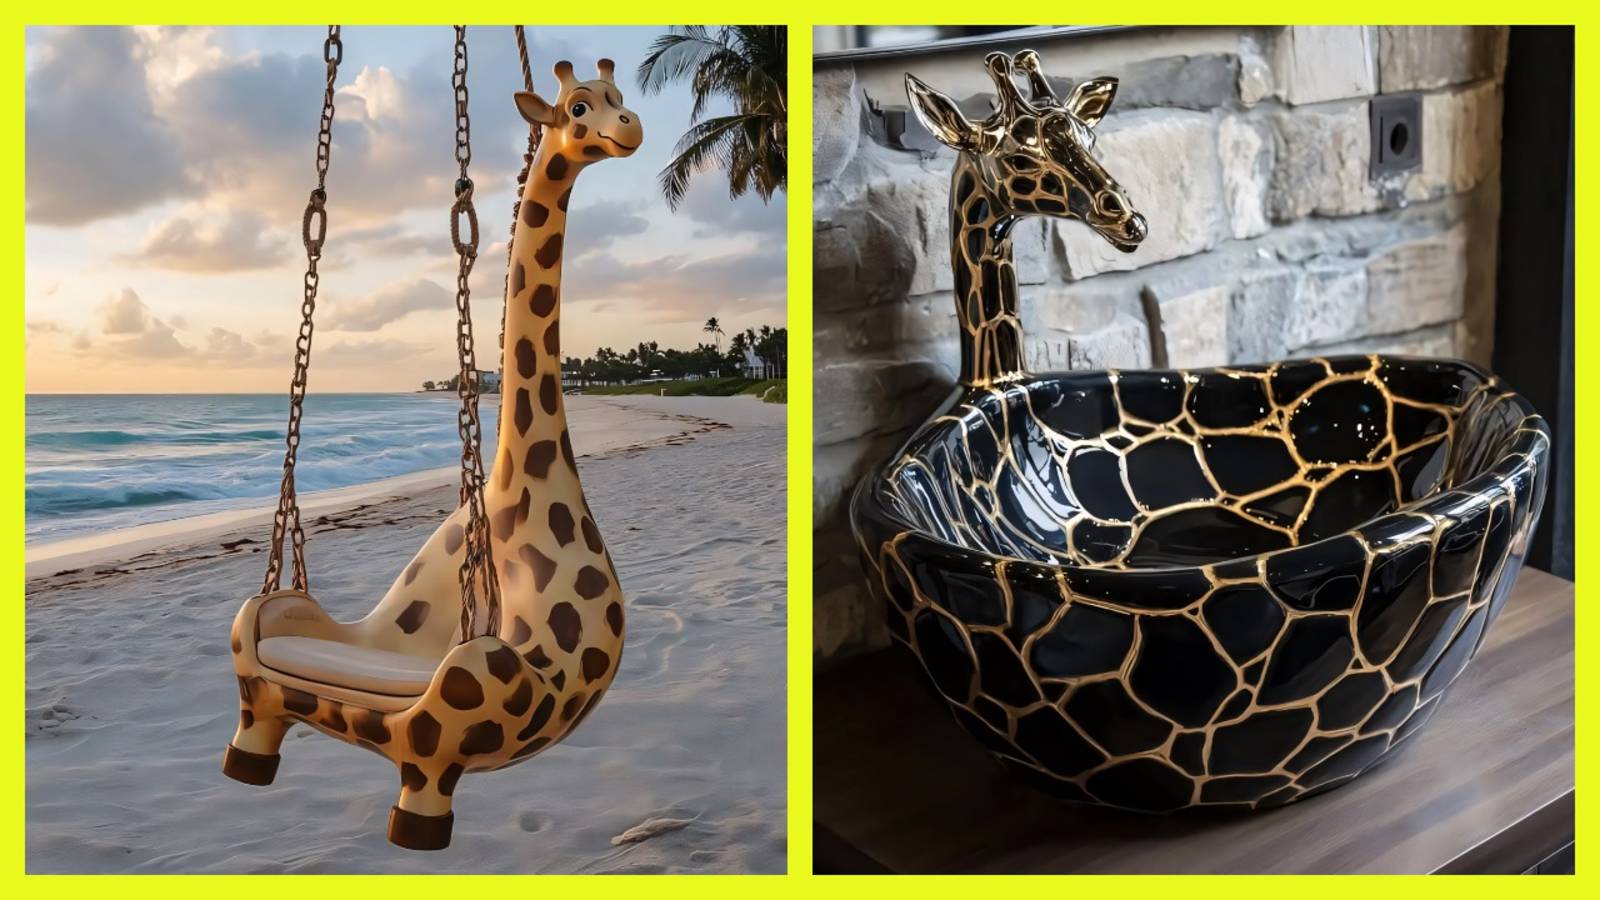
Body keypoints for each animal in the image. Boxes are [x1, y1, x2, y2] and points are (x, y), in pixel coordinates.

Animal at [224, 58, 641, 850]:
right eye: (578, 107)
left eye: (619, 97)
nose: (628, 129)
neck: (512, 492)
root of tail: (283, 603)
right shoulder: (463, 696)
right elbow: (424, 770)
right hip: (260, 680)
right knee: (257, 706)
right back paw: (248, 762)